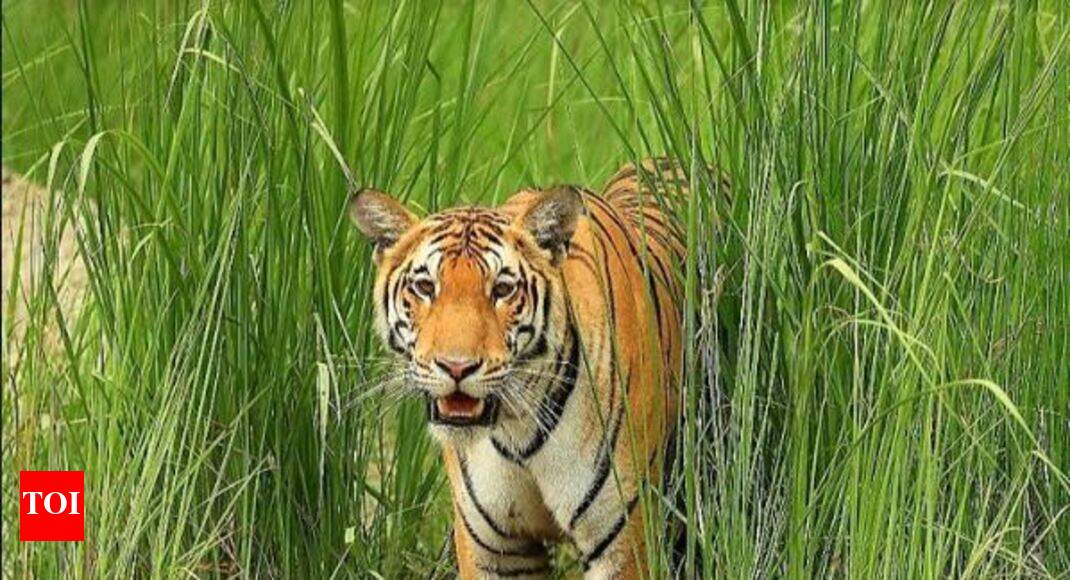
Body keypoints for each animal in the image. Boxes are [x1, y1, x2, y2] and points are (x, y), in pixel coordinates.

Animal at [349, 158, 690, 578]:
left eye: (502, 290)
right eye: (425, 287)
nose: (456, 367)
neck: (517, 428)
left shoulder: (622, 544)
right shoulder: (496, 550)